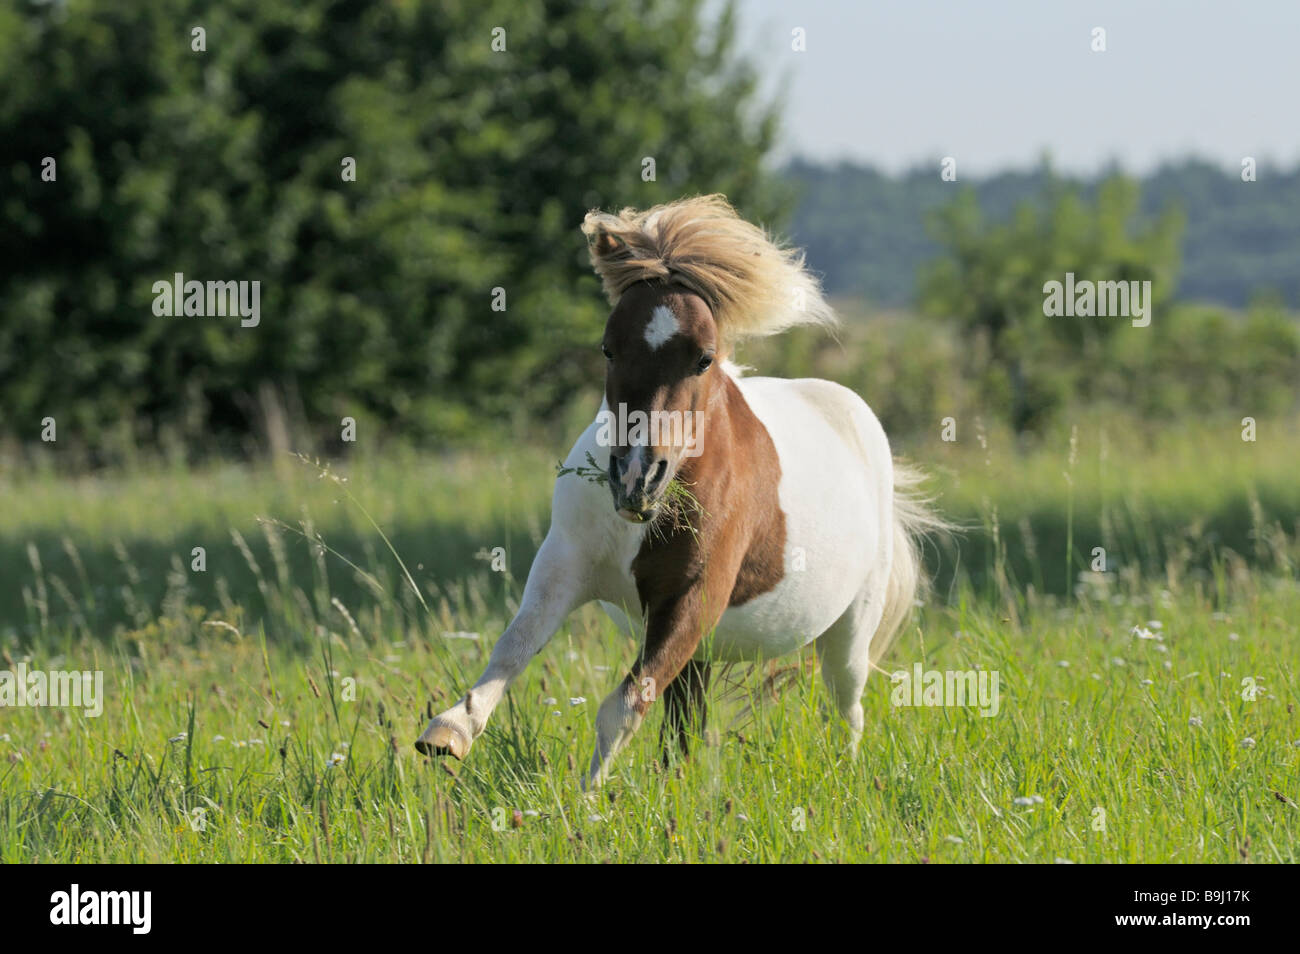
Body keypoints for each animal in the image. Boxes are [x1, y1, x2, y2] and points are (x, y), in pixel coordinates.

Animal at [416, 194, 943, 788]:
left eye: (704, 357)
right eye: (608, 349)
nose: (636, 479)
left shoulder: (692, 597)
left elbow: (624, 704)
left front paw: (585, 799)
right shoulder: (565, 564)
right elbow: (516, 645)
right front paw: (447, 732)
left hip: (850, 627)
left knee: (846, 705)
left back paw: (845, 775)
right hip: (702, 648)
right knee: (687, 718)